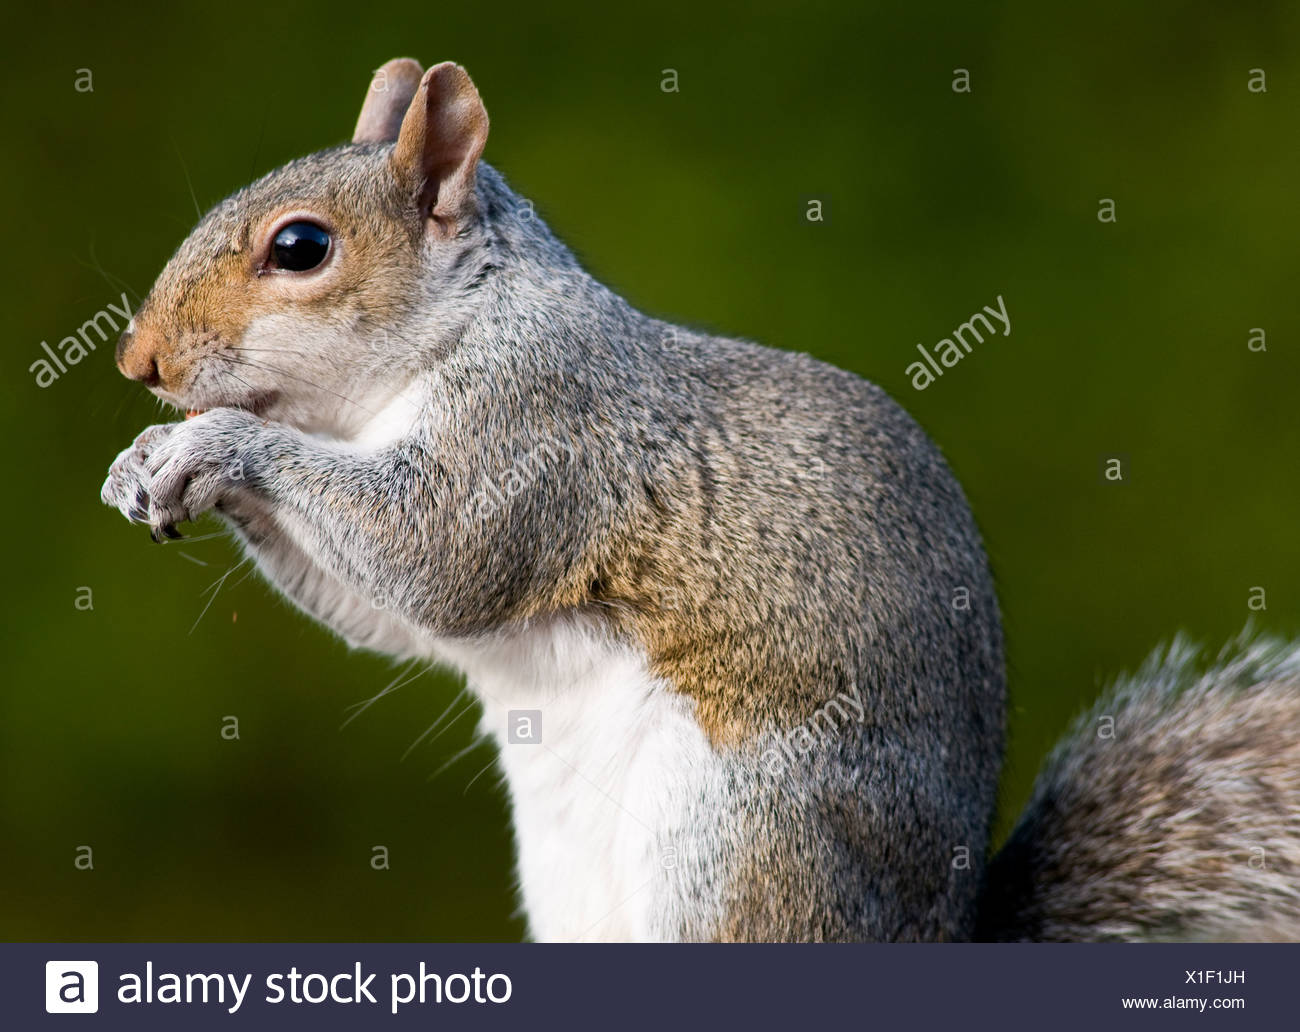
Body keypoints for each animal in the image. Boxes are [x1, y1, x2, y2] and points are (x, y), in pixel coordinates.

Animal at [101, 57, 1300, 943]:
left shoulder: (540, 426)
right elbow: (390, 614)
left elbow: (441, 556)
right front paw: (142, 461)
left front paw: (214, 441)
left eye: (301, 247)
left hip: (743, 847)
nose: (136, 361)